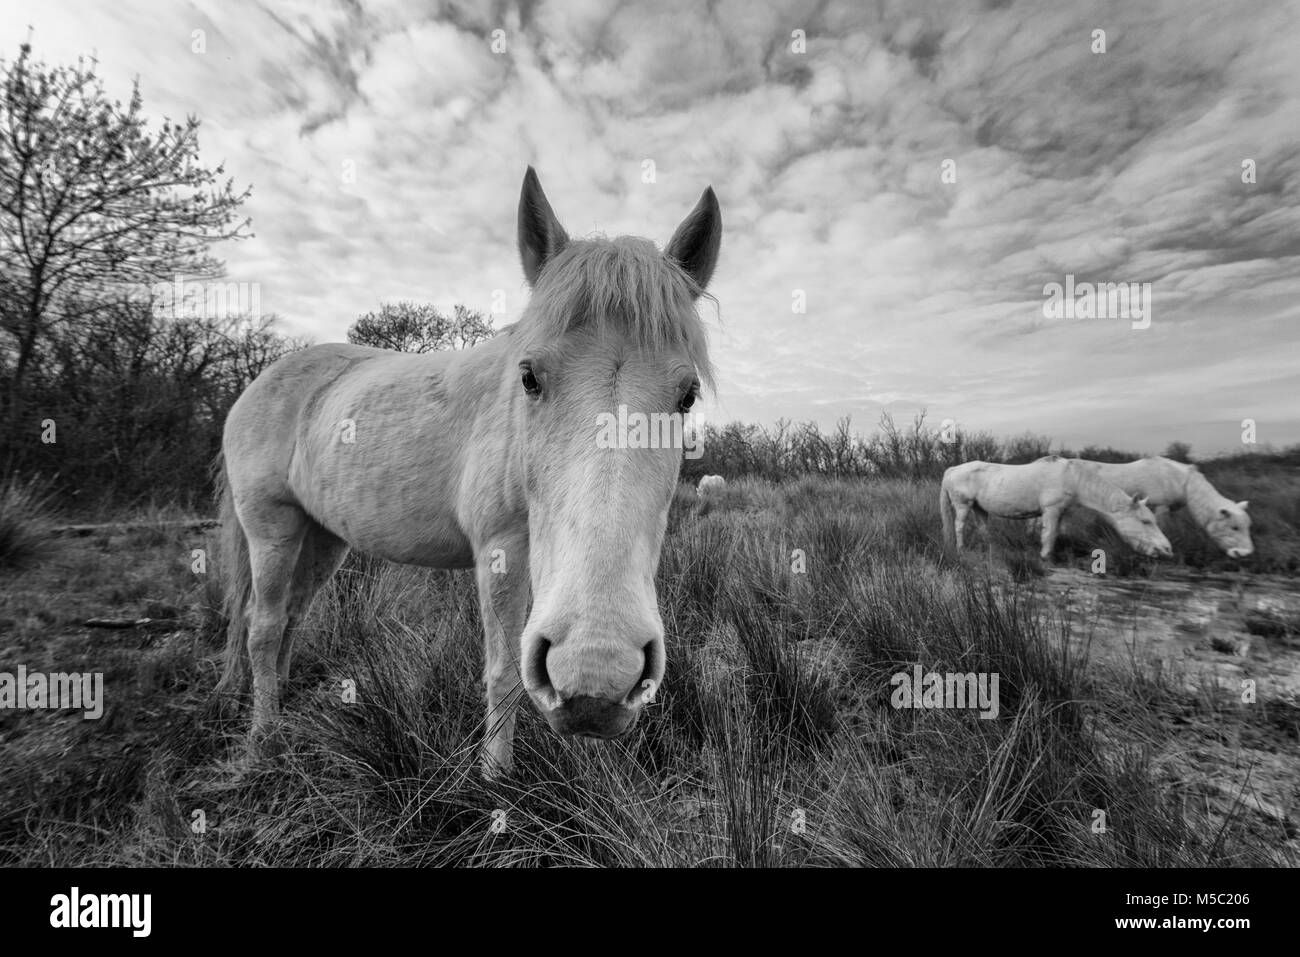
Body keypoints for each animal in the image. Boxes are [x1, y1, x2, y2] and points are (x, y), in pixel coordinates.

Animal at [214, 167, 722, 776]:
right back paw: (262, 735)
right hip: (271, 527)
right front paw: (495, 779)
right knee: (262, 627)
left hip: (322, 539)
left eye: (687, 396)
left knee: (290, 614)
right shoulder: (501, 551)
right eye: (529, 378)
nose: (596, 682)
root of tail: (259, 383)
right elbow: (504, 674)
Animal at [940, 455, 1173, 560]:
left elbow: (1057, 533)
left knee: (983, 528)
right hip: (963, 505)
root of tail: (952, 469)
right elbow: (1049, 534)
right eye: (1145, 521)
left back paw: (991, 549)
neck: (1073, 479)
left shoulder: (1061, 513)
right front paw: (1045, 557)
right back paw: (960, 549)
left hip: (979, 508)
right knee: (959, 526)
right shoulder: (1051, 511)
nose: (1167, 550)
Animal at [1073, 457, 1252, 557]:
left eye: (1247, 527)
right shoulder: (1161, 506)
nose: (1245, 554)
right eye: (1234, 527)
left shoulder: (1173, 510)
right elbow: (1163, 528)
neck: (1184, 482)